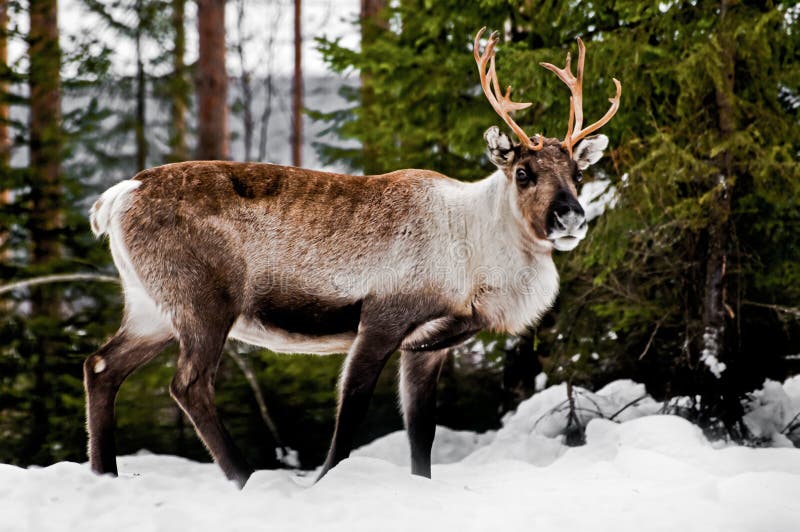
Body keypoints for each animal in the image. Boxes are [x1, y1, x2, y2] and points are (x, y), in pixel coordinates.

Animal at [85, 28, 621, 488]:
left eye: (578, 172)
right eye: (524, 172)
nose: (570, 215)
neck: (474, 261)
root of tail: (116, 198)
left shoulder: (429, 344)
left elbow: (421, 432)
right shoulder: (382, 318)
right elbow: (350, 416)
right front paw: (324, 481)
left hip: (151, 307)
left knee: (100, 366)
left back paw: (104, 473)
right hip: (203, 301)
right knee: (189, 384)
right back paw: (243, 477)